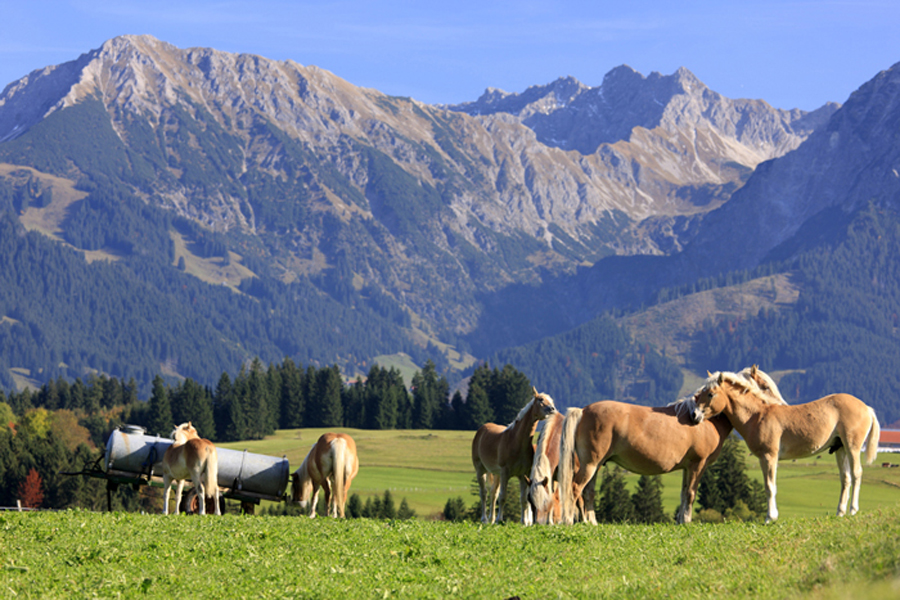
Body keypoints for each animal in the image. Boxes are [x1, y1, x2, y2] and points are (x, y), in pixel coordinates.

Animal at [472, 387, 557, 524]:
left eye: (551, 400)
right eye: (540, 399)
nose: (552, 409)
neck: (515, 441)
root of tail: (481, 429)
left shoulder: (523, 475)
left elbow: (523, 499)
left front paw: (524, 522)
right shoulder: (505, 473)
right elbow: (503, 497)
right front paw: (499, 520)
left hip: (497, 474)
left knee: (493, 493)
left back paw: (491, 519)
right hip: (480, 470)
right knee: (484, 493)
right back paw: (485, 519)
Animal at [558, 397, 733, 525]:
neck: (708, 421)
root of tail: (583, 411)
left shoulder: (687, 468)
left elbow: (684, 493)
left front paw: (680, 521)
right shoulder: (697, 465)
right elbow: (690, 494)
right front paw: (686, 522)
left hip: (595, 466)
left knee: (588, 492)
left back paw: (591, 523)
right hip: (590, 465)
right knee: (575, 488)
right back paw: (568, 520)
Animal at [690, 370, 881, 523]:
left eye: (711, 394)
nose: (695, 415)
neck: (757, 415)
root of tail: (866, 407)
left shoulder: (769, 457)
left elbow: (770, 487)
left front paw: (770, 517)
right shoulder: (763, 459)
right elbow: (770, 486)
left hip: (852, 447)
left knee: (857, 474)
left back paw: (853, 510)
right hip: (840, 449)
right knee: (845, 478)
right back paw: (840, 512)